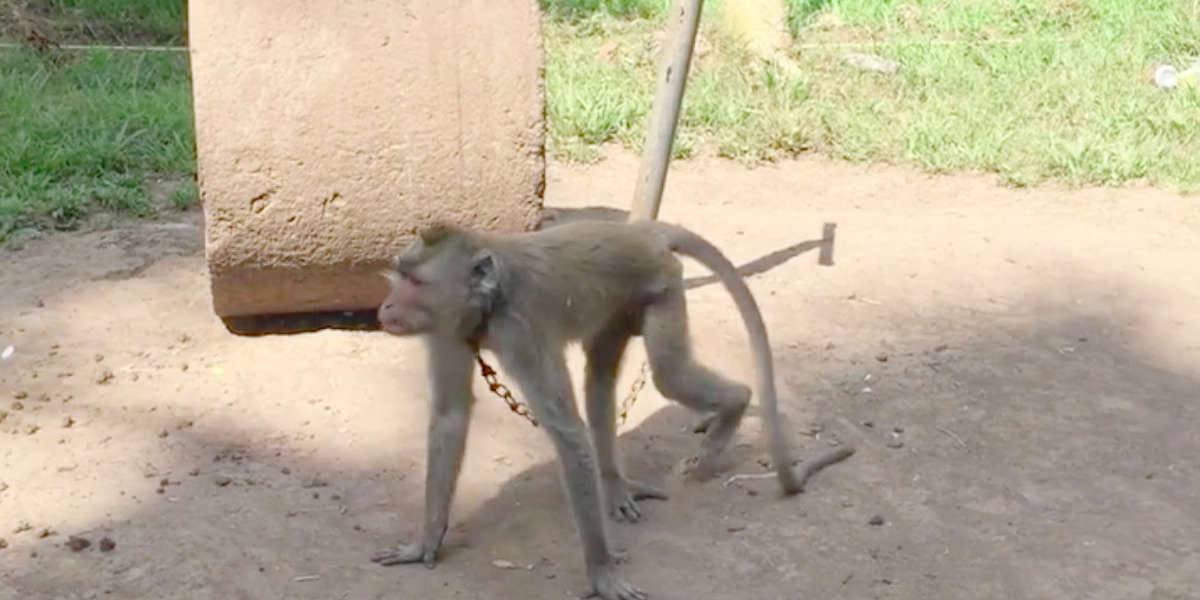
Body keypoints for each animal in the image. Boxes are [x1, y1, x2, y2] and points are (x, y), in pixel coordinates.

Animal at [371, 219, 833, 600]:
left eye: (414, 281)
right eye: (400, 274)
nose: (386, 307)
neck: (487, 303)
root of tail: (643, 231)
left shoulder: (520, 331)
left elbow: (567, 431)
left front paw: (602, 575)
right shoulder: (448, 329)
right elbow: (450, 416)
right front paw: (425, 542)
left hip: (662, 286)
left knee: (667, 374)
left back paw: (734, 405)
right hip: (622, 306)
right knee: (600, 382)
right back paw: (614, 485)